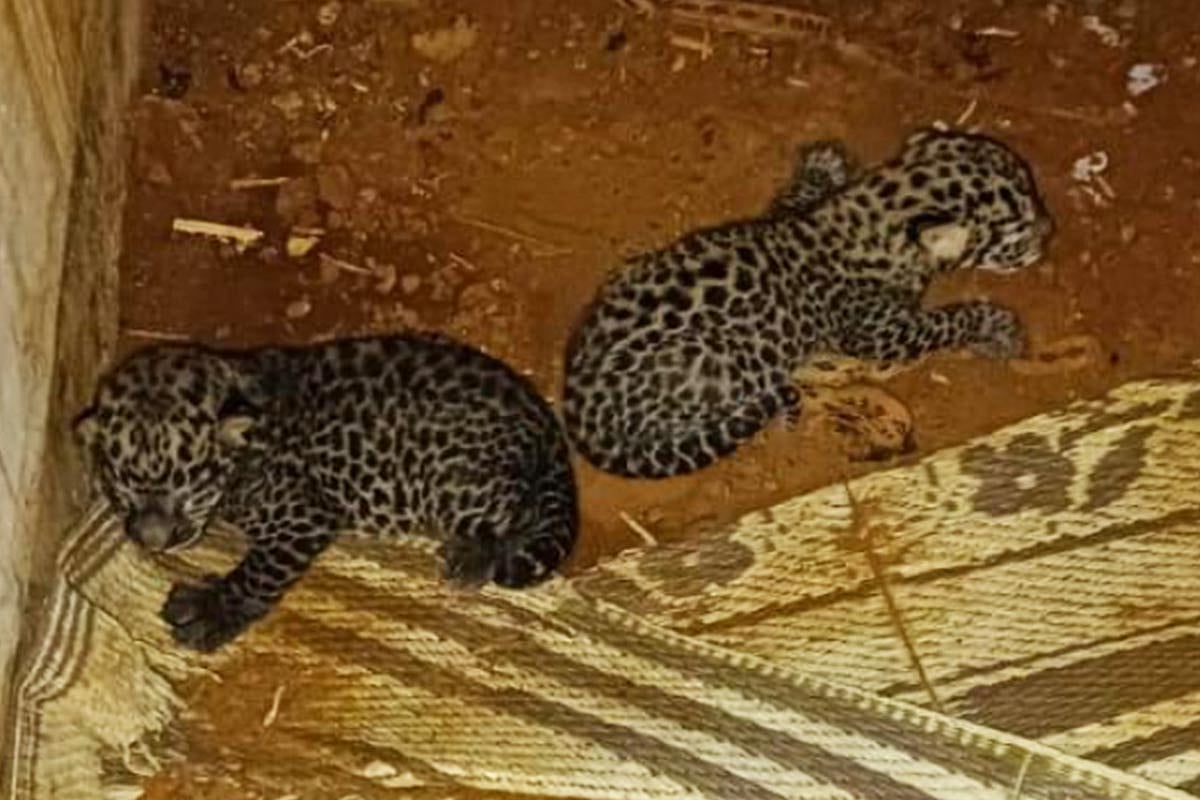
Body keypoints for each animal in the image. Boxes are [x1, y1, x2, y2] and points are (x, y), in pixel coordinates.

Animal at [74, 333, 578, 651]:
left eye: (191, 483)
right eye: (122, 487)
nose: (153, 541)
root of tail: (543, 416)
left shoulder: (304, 516)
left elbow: (260, 571)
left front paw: (210, 611)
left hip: (452, 482)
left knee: (523, 511)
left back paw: (475, 556)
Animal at [563, 127, 1054, 478]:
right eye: (1019, 233)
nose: (1051, 231)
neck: (872, 218)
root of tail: (581, 414)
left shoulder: (784, 216)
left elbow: (793, 197)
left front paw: (823, 163)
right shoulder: (879, 335)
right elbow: (948, 320)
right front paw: (998, 329)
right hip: (724, 361)